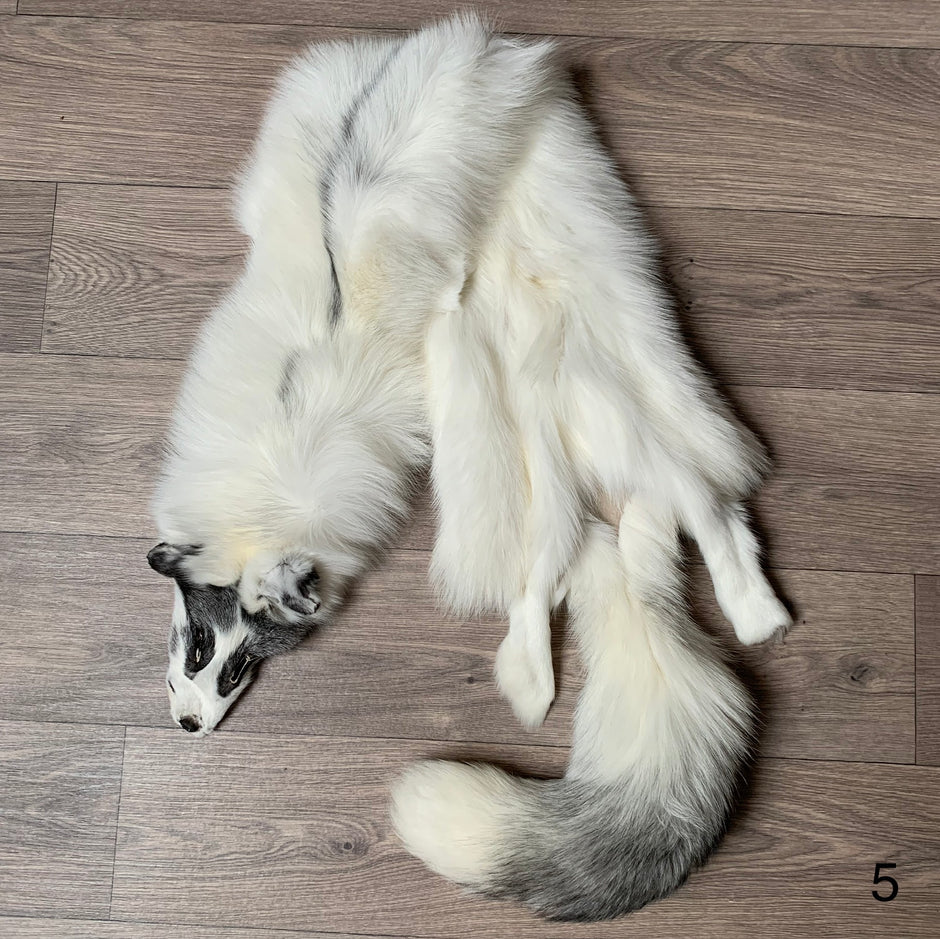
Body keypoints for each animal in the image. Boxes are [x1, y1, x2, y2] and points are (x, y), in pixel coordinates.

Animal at [148, 14, 790, 921]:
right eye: (201, 643)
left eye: (237, 662)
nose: (191, 729)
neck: (274, 488)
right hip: (546, 456)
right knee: (620, 541)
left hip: (586, 413)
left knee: (687, 507)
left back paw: (729, 612)